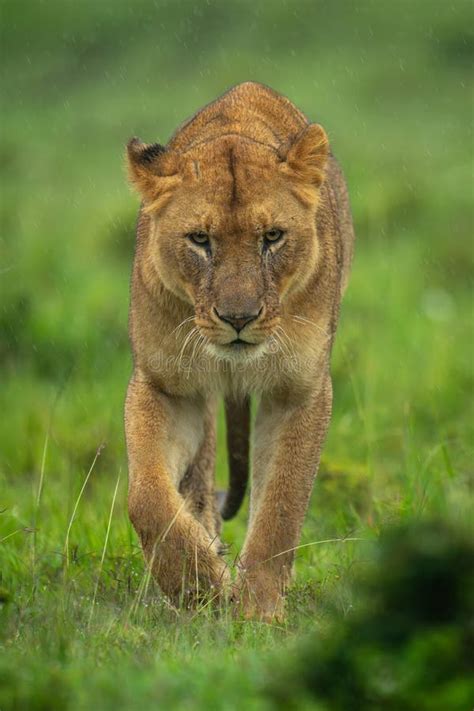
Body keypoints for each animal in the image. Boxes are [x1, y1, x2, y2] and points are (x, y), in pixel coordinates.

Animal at [125, 81, 354, 621]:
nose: (238, 318)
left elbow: (281, 507)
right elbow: (146, 496)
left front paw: (259, 613)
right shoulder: (166, 387)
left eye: (272, 237)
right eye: (199, 239)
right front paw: (198, 585)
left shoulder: (298, 391)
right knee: (198, 475)